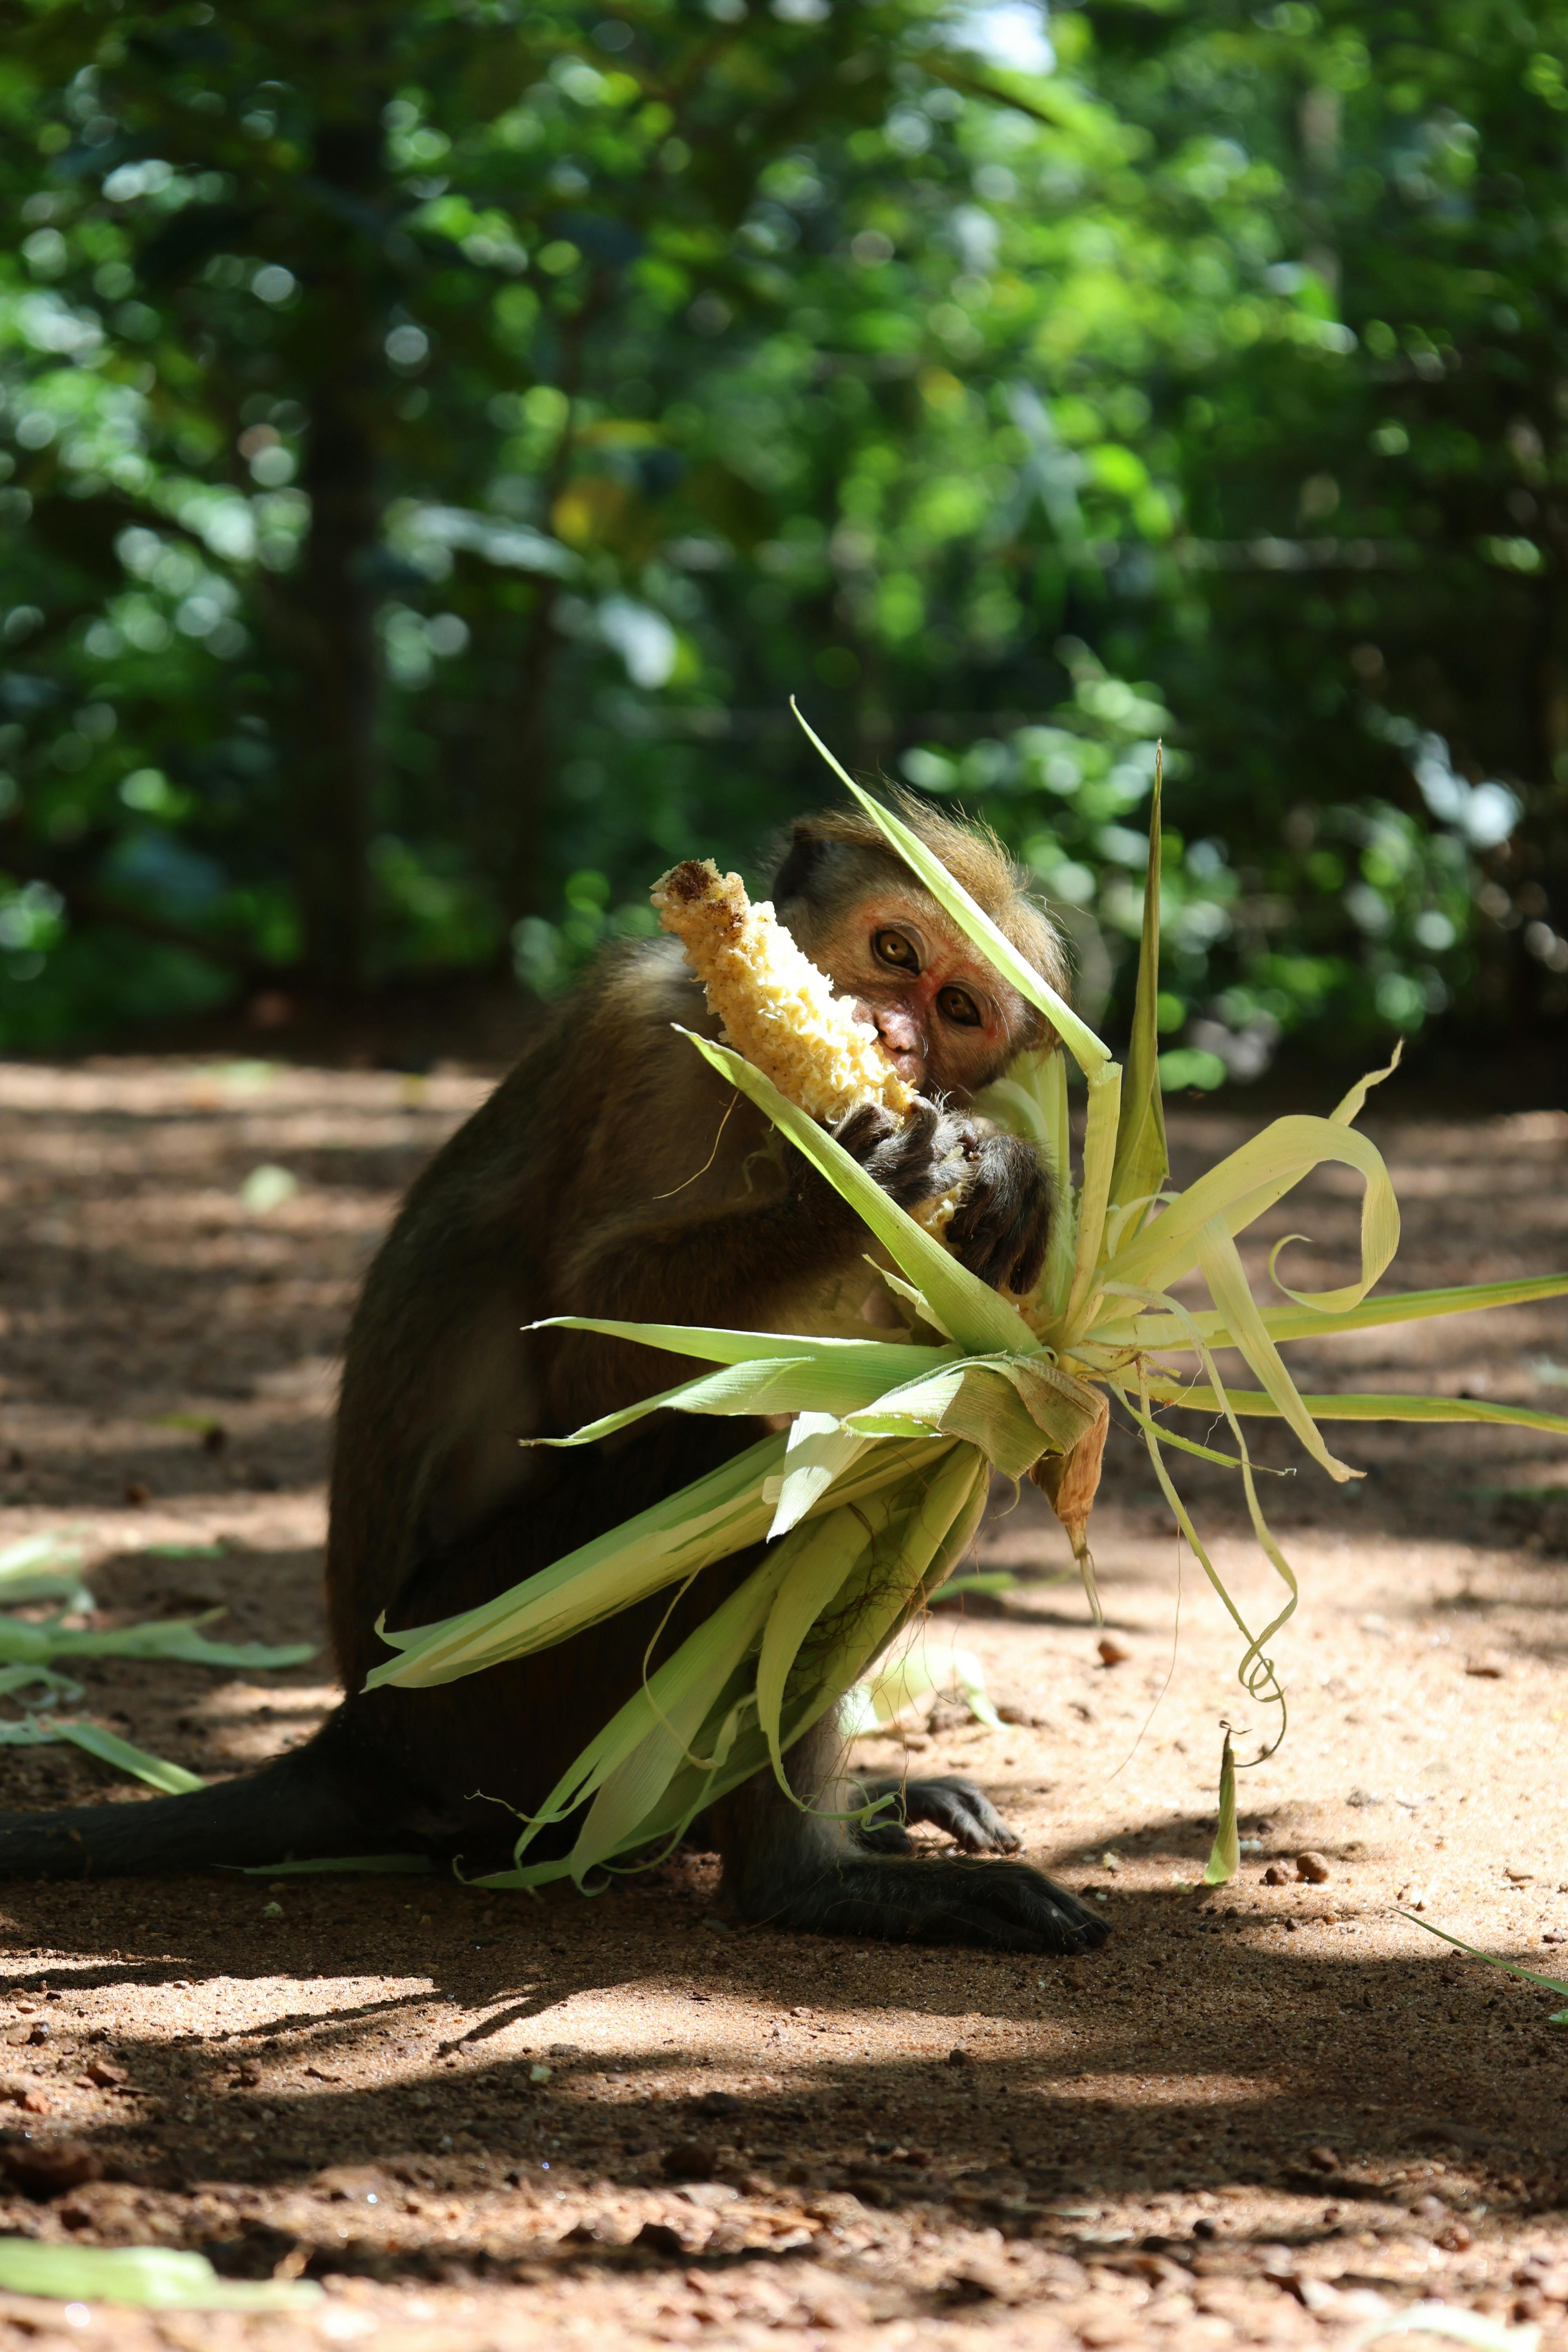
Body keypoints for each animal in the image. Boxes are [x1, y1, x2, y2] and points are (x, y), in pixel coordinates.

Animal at [0, 797, 1108, 1958]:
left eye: (958, 1009)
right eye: (895, 949)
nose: (892, 1039)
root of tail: (363, 1735)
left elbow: (942, 1364)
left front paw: (1003, 1173)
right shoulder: (651, 1049)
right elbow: (591, 1375)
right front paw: (855, 1188)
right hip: (487, 1693)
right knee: (764, 1464)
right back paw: (801, 1881)